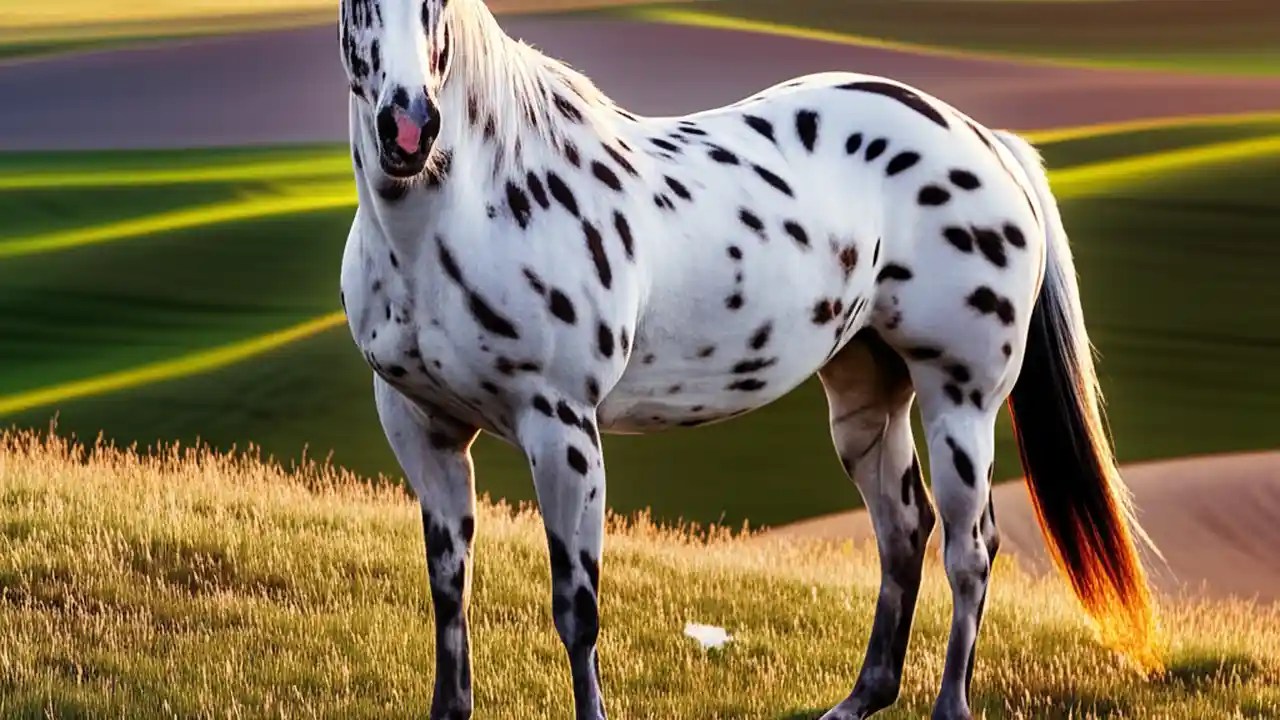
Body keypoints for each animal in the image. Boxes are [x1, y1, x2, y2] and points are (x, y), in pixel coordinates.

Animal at [335, 1, 1161, 717]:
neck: (467, 212)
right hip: (867, 396)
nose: (408, 128)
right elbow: (449, 589)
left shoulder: (562, 429)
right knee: (903, 531)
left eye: (439, 4)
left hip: (961, 400)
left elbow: (577, 610)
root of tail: (986, 139)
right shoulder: (421, 428)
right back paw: (859, 700)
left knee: (971, 549)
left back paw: (947, 707)